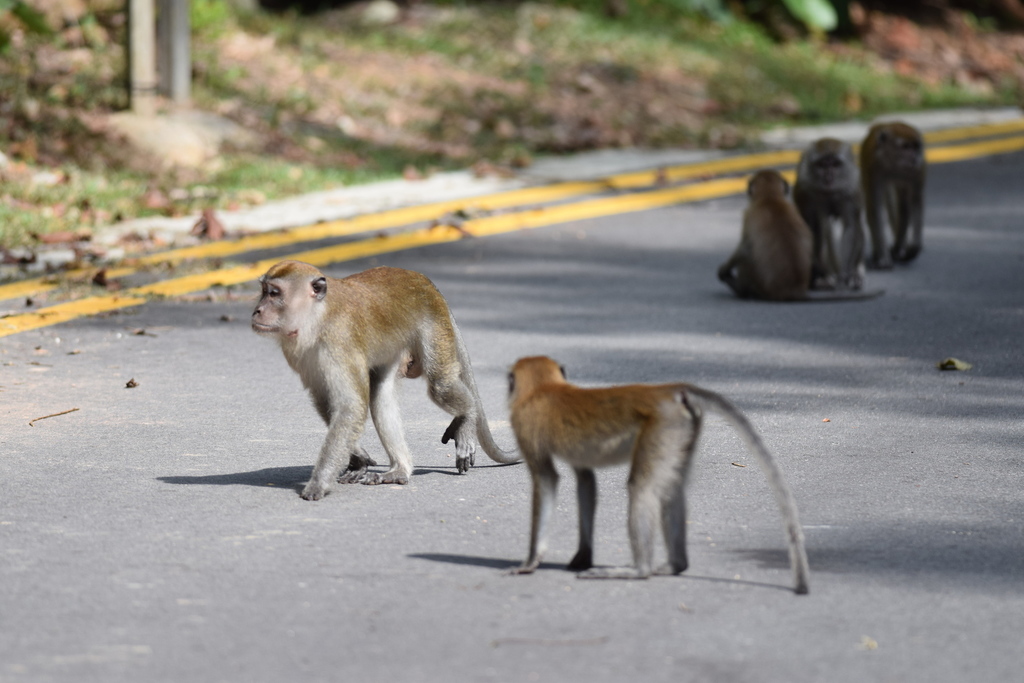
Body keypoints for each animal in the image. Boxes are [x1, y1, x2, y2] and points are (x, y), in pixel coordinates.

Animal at [251, 260, 518, 500]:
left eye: (274, 293)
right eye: (264, 291)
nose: (256, 311)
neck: (318, 317)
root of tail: (421, 279)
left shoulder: (341, 343)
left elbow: (350, 407)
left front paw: (319, 483)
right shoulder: (299, 353)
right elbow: (327, 399)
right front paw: (358, 457)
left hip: (434, 325)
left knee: (440, 385)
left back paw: (467, 417)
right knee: (381, 395)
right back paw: (400, 470)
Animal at [506, 356, 810, 595]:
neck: (542, 388)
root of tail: (670, 391)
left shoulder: (524, 422)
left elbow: (546, 479)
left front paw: (529, 563)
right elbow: (586, 481)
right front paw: (583, 556)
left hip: (662, 426)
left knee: (642, 488)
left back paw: (640, 570)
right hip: (681, 430)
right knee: (672, 488)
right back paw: (675, 564)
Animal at [718, 170, 883, 302]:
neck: (770, 198)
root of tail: (794, 289)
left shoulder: (748, 215)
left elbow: (744, 248)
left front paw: (723, 271)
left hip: (760, 284)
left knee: (747, 258)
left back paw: (739, 289)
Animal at [793, 138, 866, 290]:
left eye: (835, 164)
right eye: (822, 165)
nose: (829, 176)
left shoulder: (851, 189)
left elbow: (851, 226)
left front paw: (848, 274)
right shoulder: (805, 190)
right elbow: (811, 227)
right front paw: (824, 275)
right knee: (825, 224)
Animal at [860, 121, 926, 268]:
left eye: (915, 146)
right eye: (906, 147)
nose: (914, 157)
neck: (893, 165)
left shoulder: (918, 170)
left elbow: (916, 202)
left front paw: (914, 248)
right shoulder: (873, 169)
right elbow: (876, 209)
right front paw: (883, 257)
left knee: (902, 207)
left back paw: (899, 248)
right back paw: (880, 252)